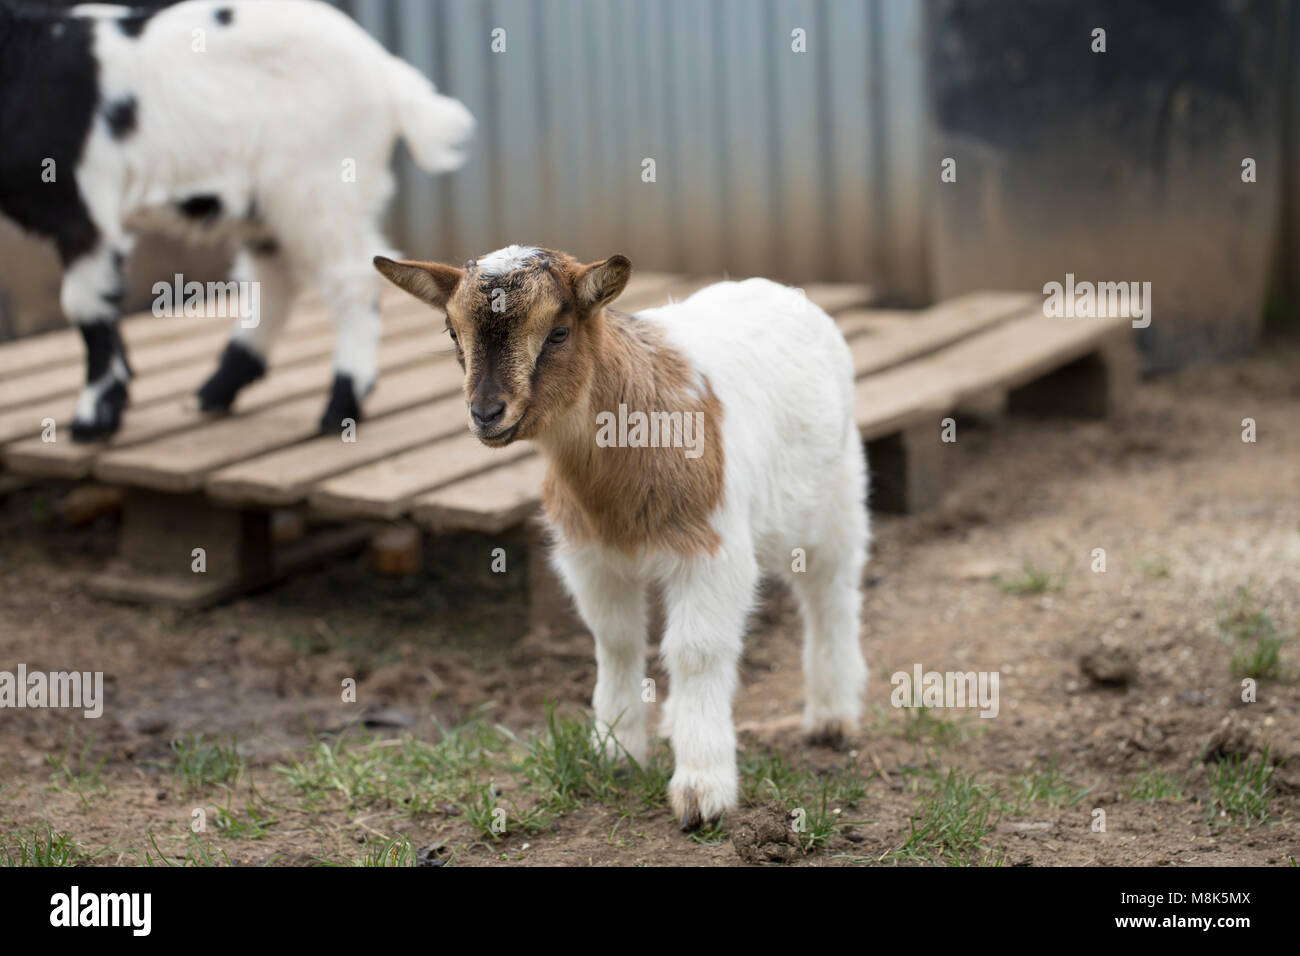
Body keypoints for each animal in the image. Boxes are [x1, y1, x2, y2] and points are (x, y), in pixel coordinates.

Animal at [0, 0, 474, 440]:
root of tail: (388, 72)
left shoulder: (85, 212)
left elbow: (85, 306)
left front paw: (93, 419)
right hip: (270, 203)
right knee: (274, 277)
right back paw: (218, 389)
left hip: (320, 184)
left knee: (350, 278)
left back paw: (339, 406)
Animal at [375, 246, 870, 829]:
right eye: (452, 332)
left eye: (559, 332)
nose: (486, 413)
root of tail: (781, 291)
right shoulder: (590, 555)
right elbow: (616, 639)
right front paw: (616, 749)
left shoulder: (711, 549)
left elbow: (697, 651)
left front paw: (702, 789)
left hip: (837, 496)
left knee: (831, 595)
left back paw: (832, 717)